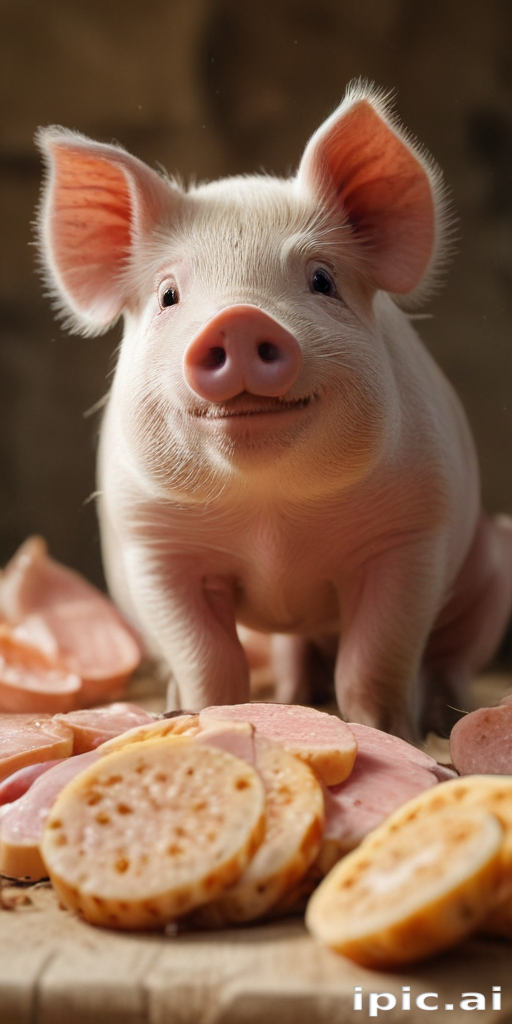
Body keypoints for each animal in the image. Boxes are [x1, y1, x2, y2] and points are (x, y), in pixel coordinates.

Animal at [35, 81, 512, 739]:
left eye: (322, 280)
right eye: (168, 294)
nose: (239, 318)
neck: (272, 520)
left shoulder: (412, 532)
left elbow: (374, 656)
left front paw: (388, 731)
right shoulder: (154, 547)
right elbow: (207, 655)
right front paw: (207, 713)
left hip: (493, 567)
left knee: (450, 656)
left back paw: (439, 717)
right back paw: (290, 693)